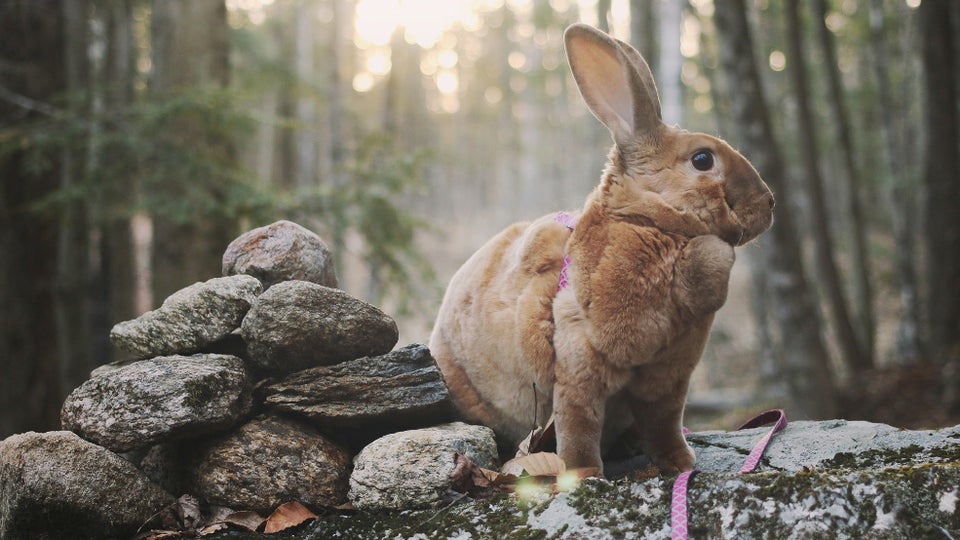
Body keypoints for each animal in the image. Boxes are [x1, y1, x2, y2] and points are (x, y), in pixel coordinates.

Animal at [429, 23, 774, 476]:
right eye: (703, 160)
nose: (770, 204)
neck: (652, 226)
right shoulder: (580, 366)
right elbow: (580, 426)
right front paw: (585, 475)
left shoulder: (668, 380)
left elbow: (665, 425)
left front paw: (680, 464)